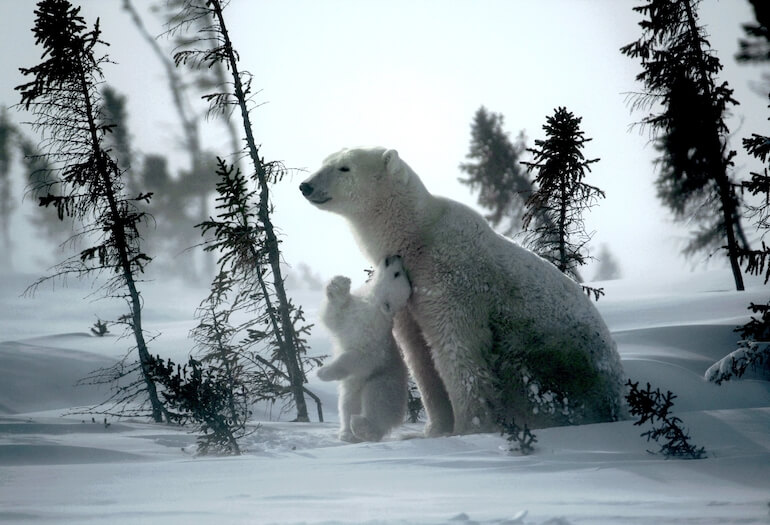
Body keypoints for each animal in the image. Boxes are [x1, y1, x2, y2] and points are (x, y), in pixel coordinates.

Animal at [317, 255, 411, 442]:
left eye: (397, 274)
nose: (395, 256)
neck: (372, 305)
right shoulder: (351, 312)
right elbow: (333, 316)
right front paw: (339, 284)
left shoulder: (374, 339)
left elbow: (360, 357)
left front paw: (323, 372)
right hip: (354, 388)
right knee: (347, 403)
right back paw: (347, 433)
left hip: (384, 381)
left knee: (376, 402)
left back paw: (363, 427)